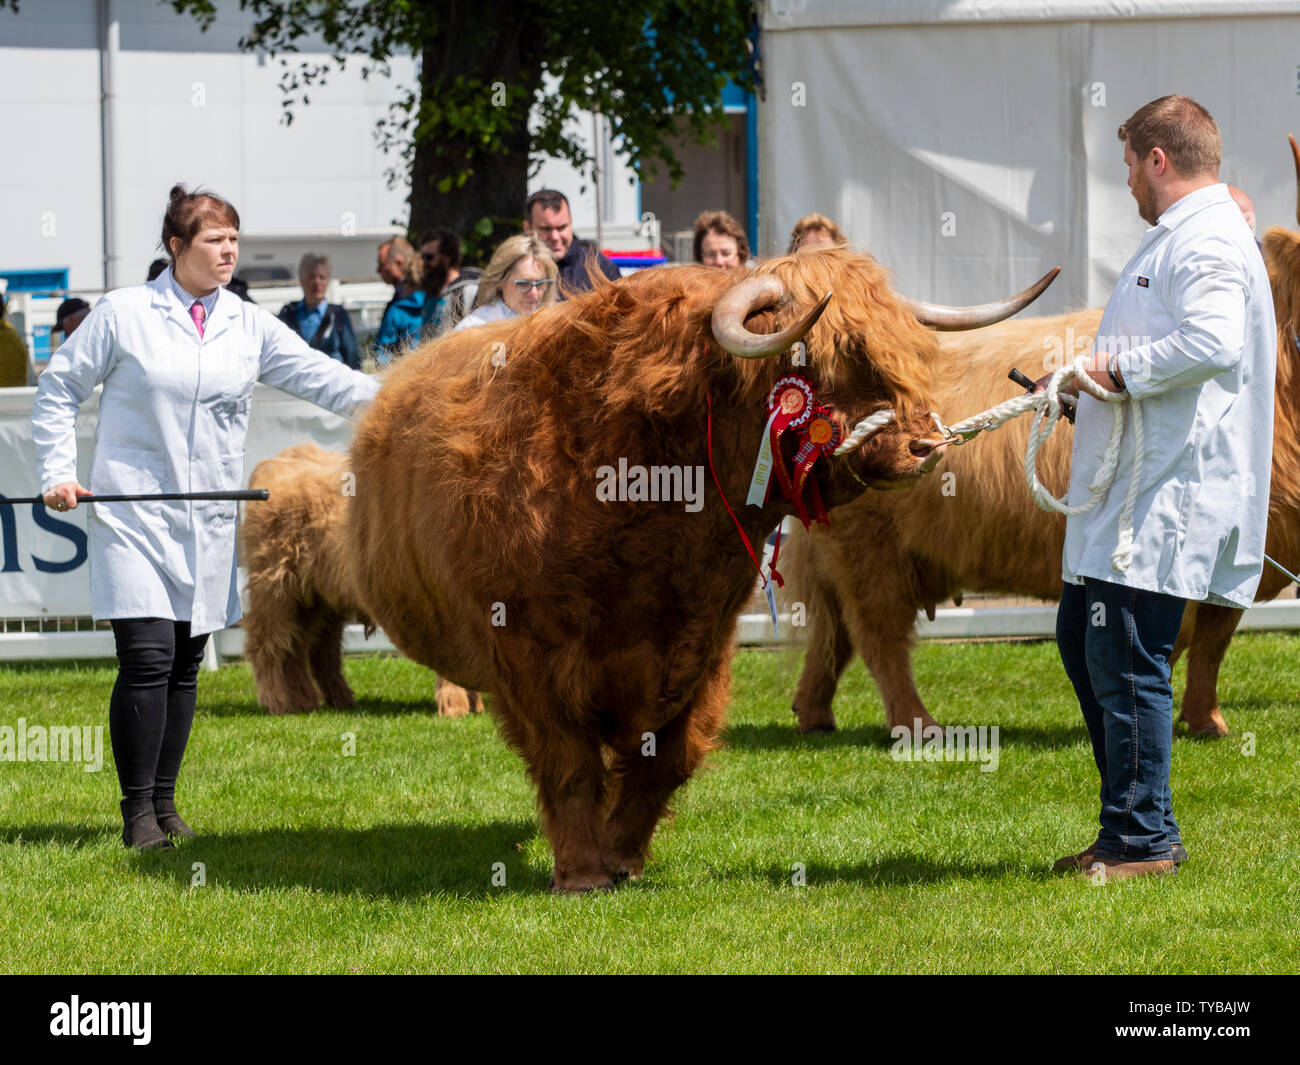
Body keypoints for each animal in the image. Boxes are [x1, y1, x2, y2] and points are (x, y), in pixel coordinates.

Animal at [343, 248, 1054, 891]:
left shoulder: (703, 643)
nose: (922, 446)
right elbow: (568, 762)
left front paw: (624, 856)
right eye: (815, 361)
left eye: (904, 356)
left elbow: (669, 755)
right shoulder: (529, 648)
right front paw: (582, 873)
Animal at [789, 137, 1300, 740]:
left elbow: (1215, 634)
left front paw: (1205, 721)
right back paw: (917, 724)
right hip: (868, 548)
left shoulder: (1247, 544)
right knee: (878, 632)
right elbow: (1180, 638)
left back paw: (814, 715)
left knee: (833, 633)